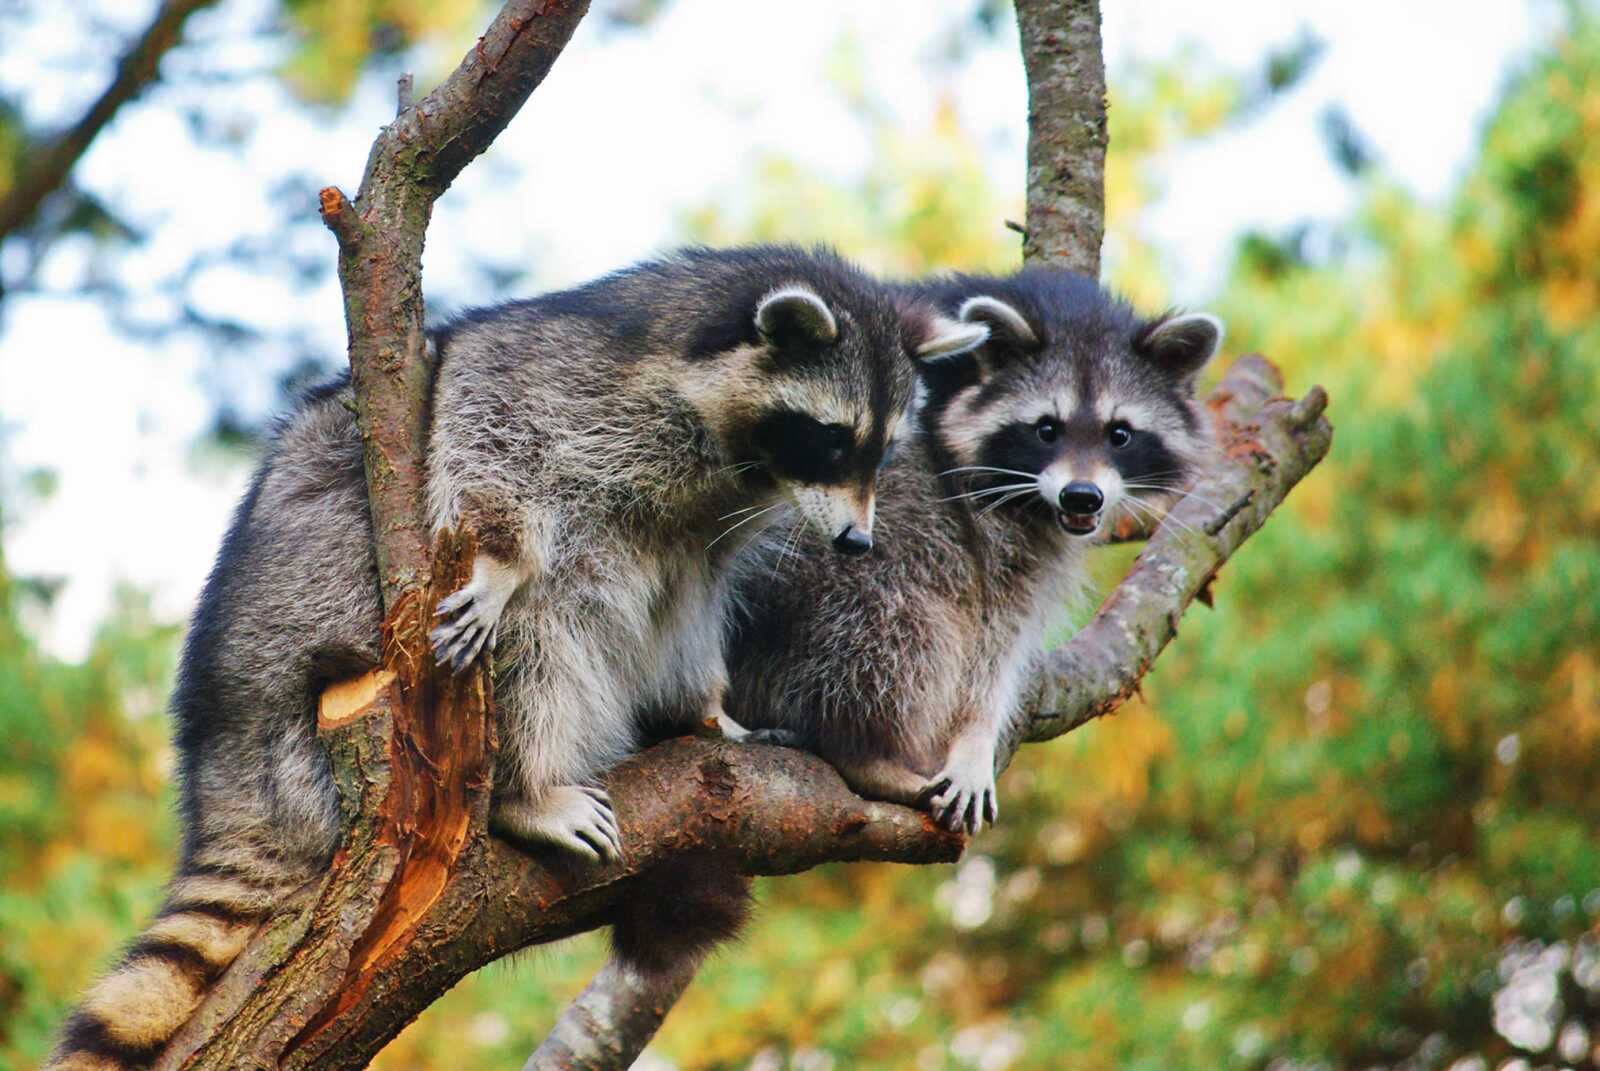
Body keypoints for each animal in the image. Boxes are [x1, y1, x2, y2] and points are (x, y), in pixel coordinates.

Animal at [48, 245, 986, 1070]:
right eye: (830, 438)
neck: (740, 457)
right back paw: (527, 786)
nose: (858, 541)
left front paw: (710, 709)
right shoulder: (564, 375)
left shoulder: (703, 532)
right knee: (536, 634)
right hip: (328, 648)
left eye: (881, 449)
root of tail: (227, 768)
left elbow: (690, 608)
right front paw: (502, 559)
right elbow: (484, 430)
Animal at [724, 267, 1222, 834]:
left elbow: (1000, 635)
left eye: (1120, 434)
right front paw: (970, 736)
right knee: (894, 622)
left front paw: (973, 738)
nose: (1081, 496)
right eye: (1046, 429)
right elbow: (986, 625)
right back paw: (861, 750)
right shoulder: (975, 513)